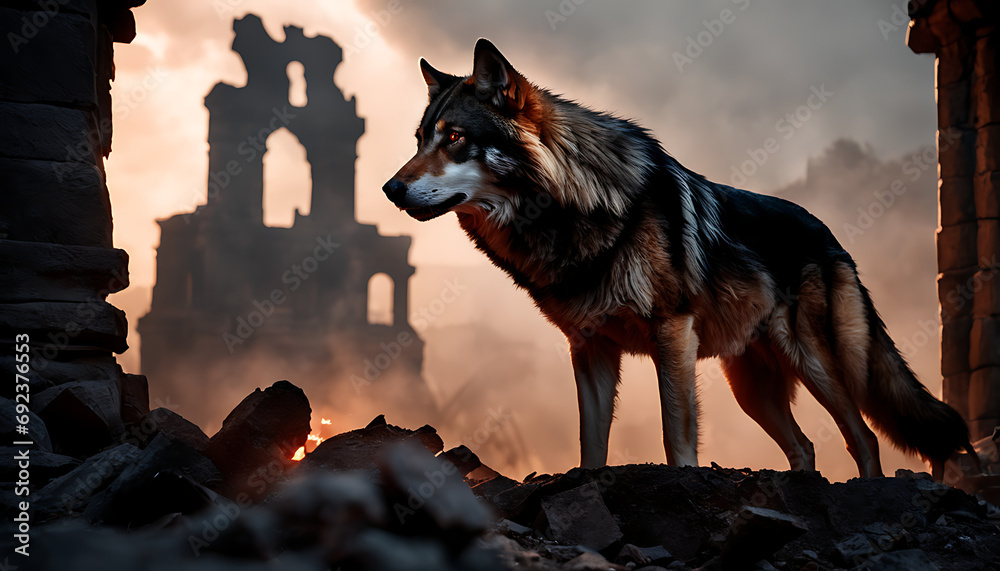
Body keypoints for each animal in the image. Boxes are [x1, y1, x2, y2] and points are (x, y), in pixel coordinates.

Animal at [383, 38, 978, 479]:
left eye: (455, 138)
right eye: (418, 138)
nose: (390, 189)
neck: (575, 210)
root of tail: (832, 236)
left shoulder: (671, 335)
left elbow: (675, 437)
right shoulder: (589, 349)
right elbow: (591, 446)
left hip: (814, 362)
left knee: (865, 440)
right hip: (751, 389)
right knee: (806, 447)